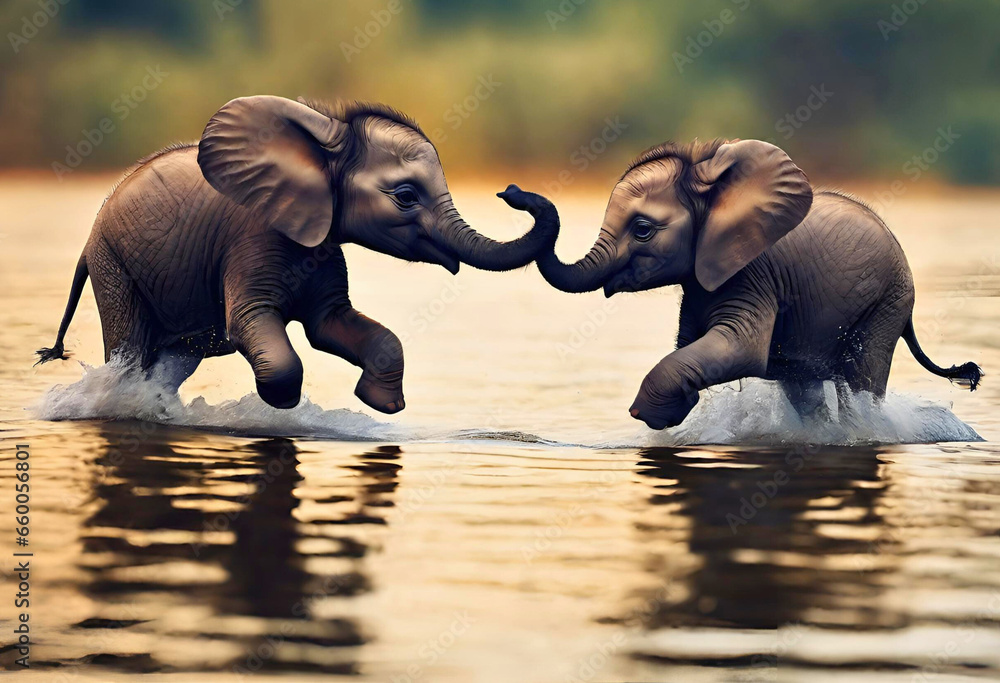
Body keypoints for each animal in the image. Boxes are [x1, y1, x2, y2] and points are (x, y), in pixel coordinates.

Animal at [36, 95, 556, 412]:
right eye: (406, 196)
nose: (511, 192)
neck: (322, 149)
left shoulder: (321, 246)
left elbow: (331, 325)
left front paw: (380, 405)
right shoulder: (252, 239)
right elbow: (251, 323)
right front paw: (283, 406)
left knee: (174, 357)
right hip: (112, 263)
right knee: (131, 349)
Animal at [499, 138, 983, 430]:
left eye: (642, 230)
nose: (510, 192)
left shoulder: (753, 274)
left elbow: (740, 348)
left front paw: (654, 414)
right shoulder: (701, 284)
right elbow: (691, 345)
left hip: (889, 302)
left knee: (860, 381)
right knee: (804, 387)